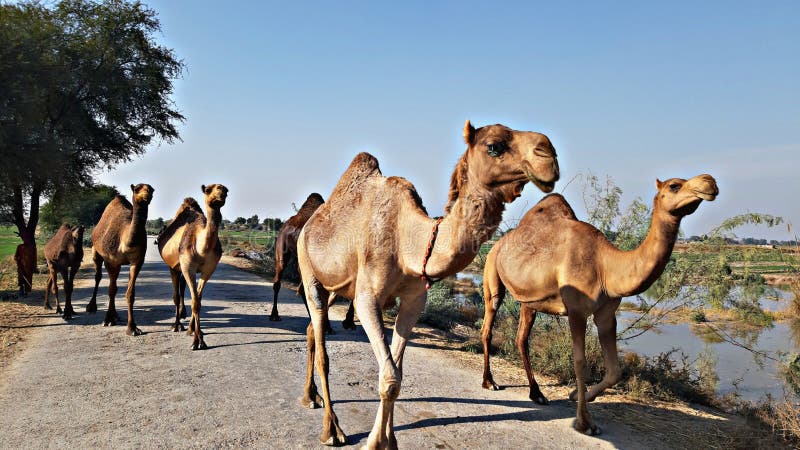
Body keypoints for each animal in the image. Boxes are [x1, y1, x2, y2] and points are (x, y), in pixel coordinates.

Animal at [86, 184, 154, 336]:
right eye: (137, 189)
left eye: (152, 189)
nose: (147, 195)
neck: (126, 241)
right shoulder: (111, 261)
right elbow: (111, 289)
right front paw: (108, 319)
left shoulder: (137, 261)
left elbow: (130, 294)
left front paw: (132, 328)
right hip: (96, 251)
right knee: (98, 276)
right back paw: (92, 307)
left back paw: (116, 315)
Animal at [157, 184, 228, 350]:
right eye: (208, 190)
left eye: (225, 190)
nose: (221, 193)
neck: (201, 248)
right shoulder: (188, 267)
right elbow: (193, 301)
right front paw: (197, 341)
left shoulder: (208, 270)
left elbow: (198, 301)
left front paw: (198, 334)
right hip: (173, 267)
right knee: (176, 295)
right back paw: (176, 325)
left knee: (184, 291)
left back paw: (187, 326)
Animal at [296, 120, 560, 448]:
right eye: (494, 146)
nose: (548, 154)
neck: (407, 239)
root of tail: (308, 225)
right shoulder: (367, 298)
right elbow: (389, 375)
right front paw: (375, 442)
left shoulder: (413, 299)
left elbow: (396, 373)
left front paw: (390, 440)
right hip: (308, 270)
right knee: (322, 350)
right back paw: (332, 429)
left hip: (337, 288)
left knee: (311, 331)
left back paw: (310, 397)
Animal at [480, 174, 719, 435]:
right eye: (674, 185)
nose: (709, 182)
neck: (606, 266)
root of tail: (497, 243)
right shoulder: (576, 311)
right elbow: (580, 362)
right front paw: (585, 422)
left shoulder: (606, 314)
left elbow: (615, 370)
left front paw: (576, 394)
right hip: (492, 272)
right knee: (488, 326)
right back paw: (489, 382)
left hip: (529, 301)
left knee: (521, 338)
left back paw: (537, 393)